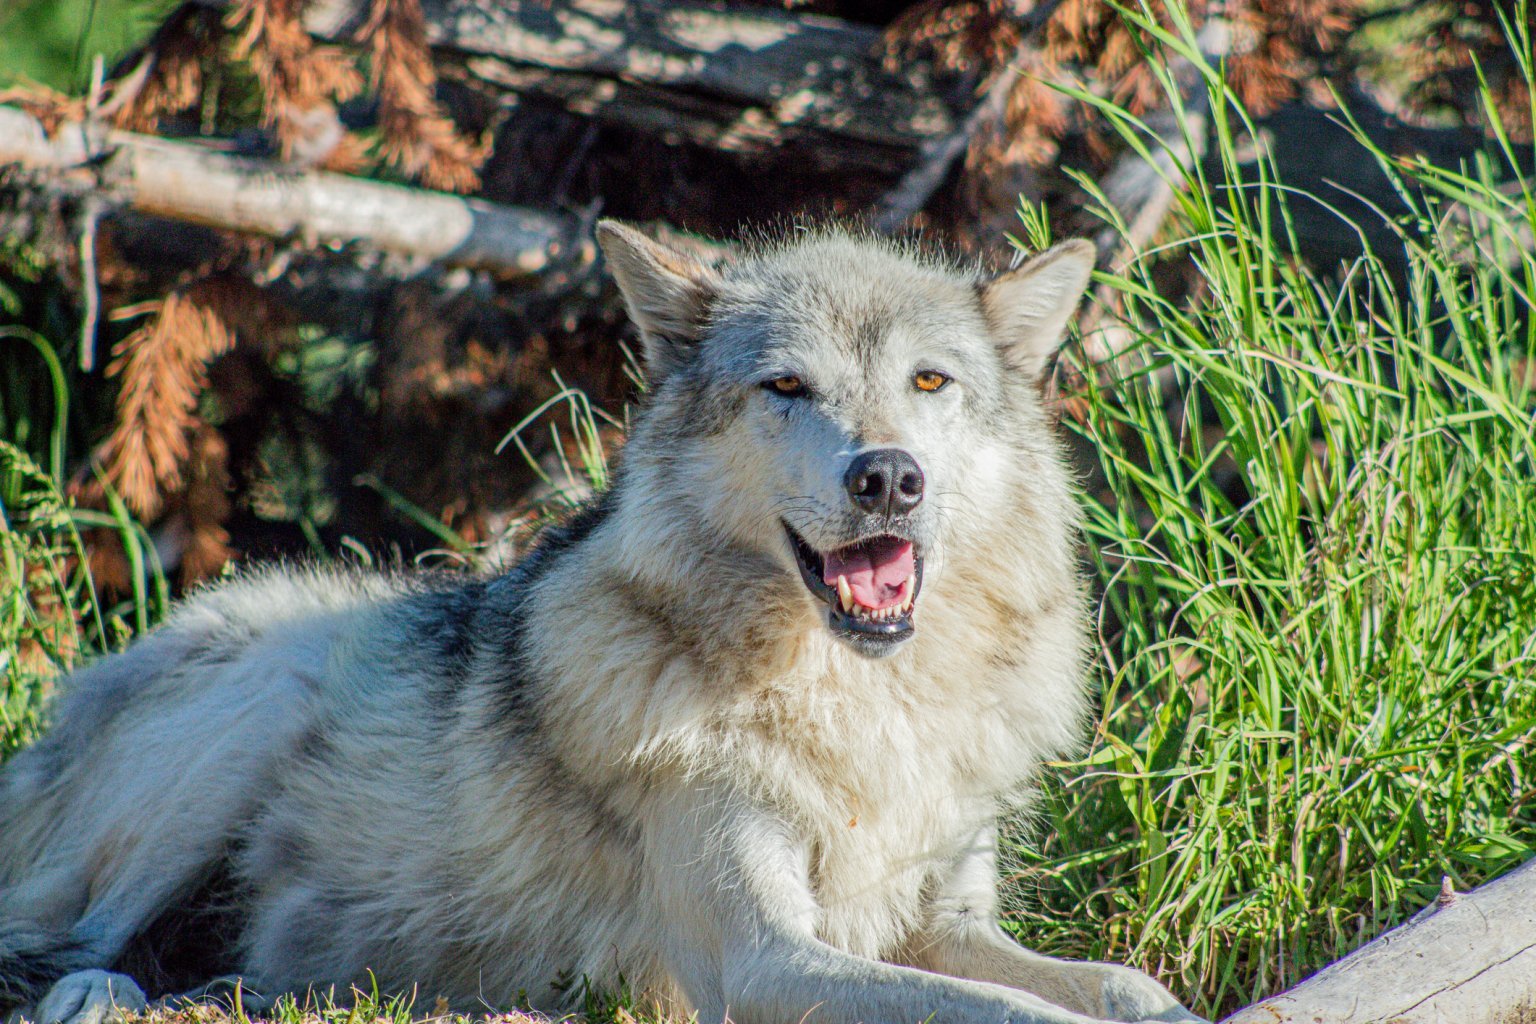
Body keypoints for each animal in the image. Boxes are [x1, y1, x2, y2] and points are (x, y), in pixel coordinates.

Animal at [0, 221, 1203, 1024]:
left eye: (930, 382)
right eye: (786, 387)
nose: (888, 477)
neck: (864, 701)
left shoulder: (945, 922)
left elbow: (1128, 987)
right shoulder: (764, 960)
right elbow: (1027, 1013)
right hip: (266, 695)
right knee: (56, 938)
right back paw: (101, 991)